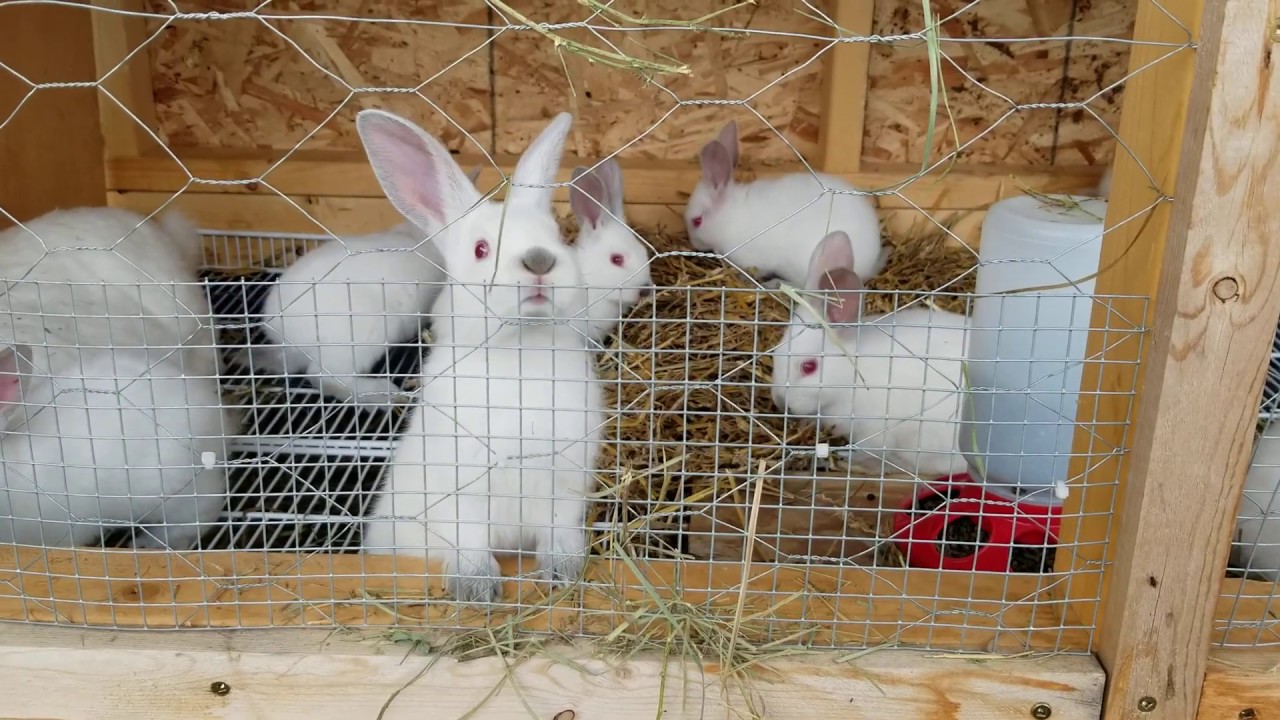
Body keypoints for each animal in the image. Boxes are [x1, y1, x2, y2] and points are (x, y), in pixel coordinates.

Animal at [357, 109, 603, 605]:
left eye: (558, 237)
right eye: (481, 249)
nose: (539, 261)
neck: (520, 350)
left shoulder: (565, 484)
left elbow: (561, 530)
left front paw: (562, 572)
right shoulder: (459, 490)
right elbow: (467, 536)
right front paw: (477, 587)